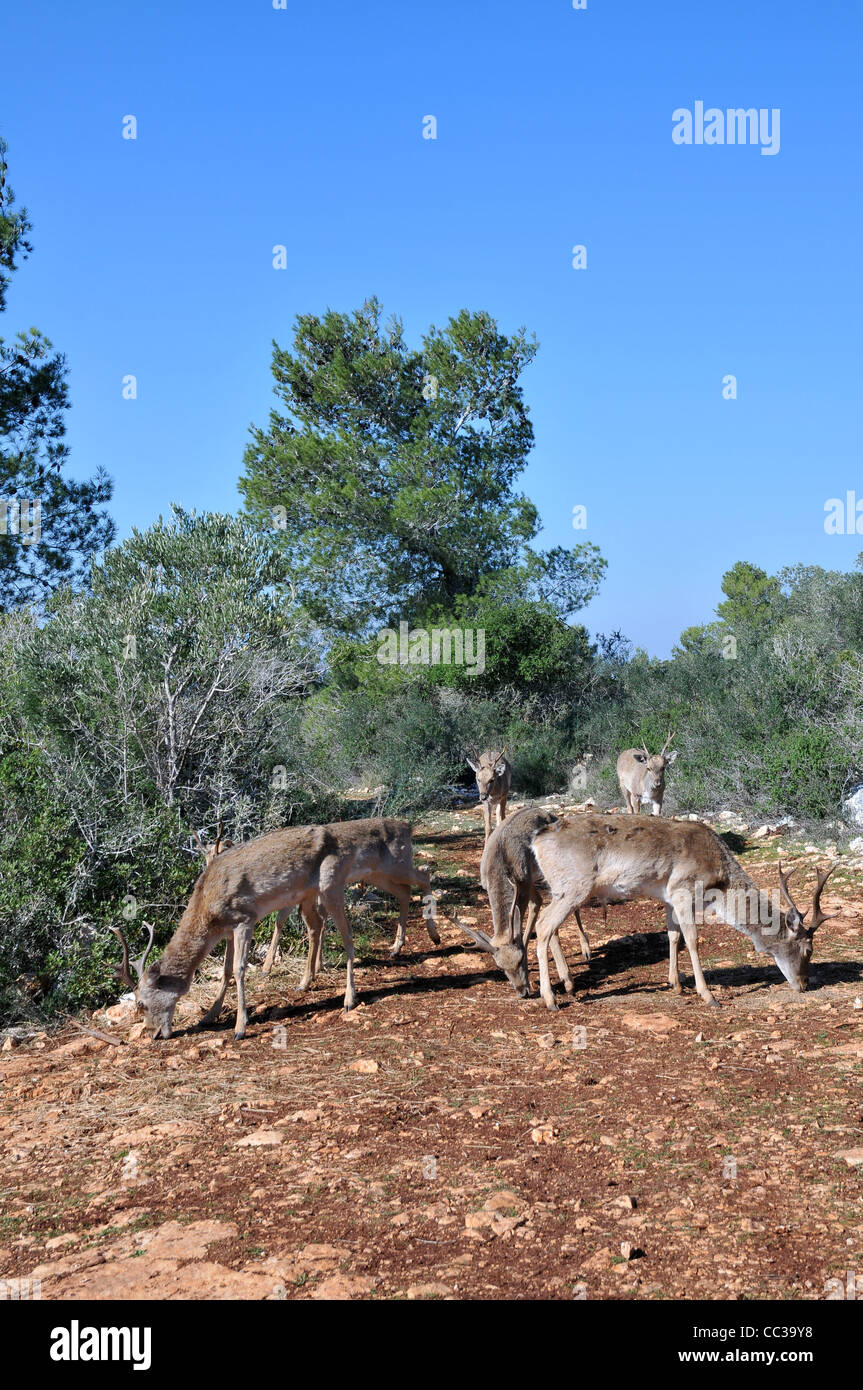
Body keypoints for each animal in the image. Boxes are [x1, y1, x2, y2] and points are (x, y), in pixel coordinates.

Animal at [112, 818, 436, 1040]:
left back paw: (351, 997)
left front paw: (240, 1027)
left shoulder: (245, 917)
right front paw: (209, 1016)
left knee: (358, 930)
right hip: (337, 886)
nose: (154, 1034)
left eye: (141, 1003)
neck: (207, 907)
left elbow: (240, 969)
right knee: (401, 891)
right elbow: (226, 970)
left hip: (333, 884)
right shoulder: (227, 929)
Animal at [529, 813, 836, 1011]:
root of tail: (537, 840)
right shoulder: (683, 889)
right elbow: (693, 939)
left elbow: (673, 936)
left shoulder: (668, 896)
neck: (719, 884)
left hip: (560, 888)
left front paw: (675, 984)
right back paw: (551, 1000)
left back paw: (568, 985)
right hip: (575, 886)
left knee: (549, 925)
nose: (804, 984)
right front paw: (708, 995)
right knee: (544, 925)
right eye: (808, 949)